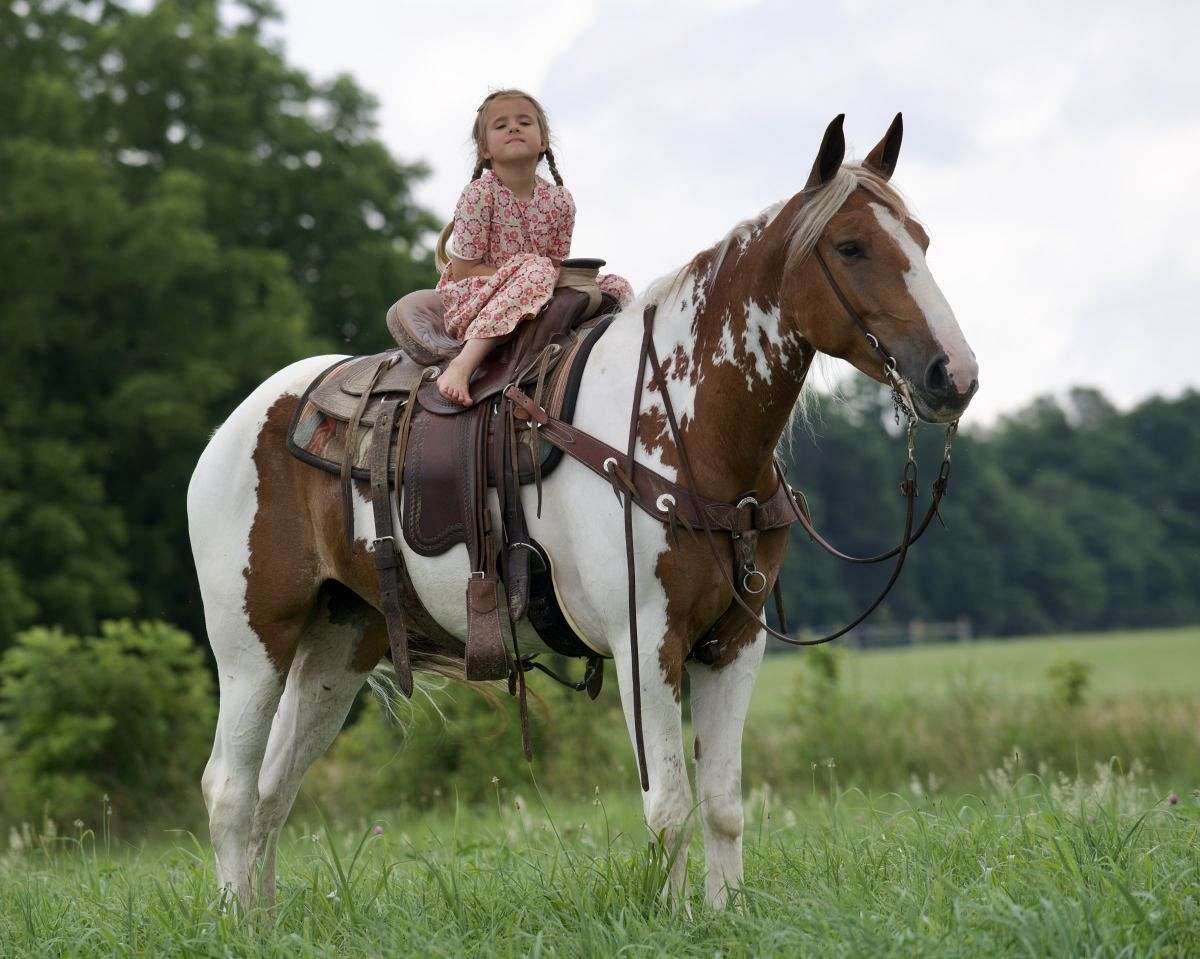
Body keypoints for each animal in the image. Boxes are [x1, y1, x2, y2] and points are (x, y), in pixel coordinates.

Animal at [187, 113, 979, 910]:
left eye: (923, 240)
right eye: (850, 246)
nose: (956, 376)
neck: (685, 425)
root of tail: (234, 427)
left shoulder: (735, 640)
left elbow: (723, 805)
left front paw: (724, 914)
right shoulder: (645, 639)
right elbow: (669, 808)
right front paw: (679, 918)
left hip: (340, 640)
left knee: (273, 790)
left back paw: (267, 918)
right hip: (252, 642)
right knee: (229, 788)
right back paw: (234, 919)